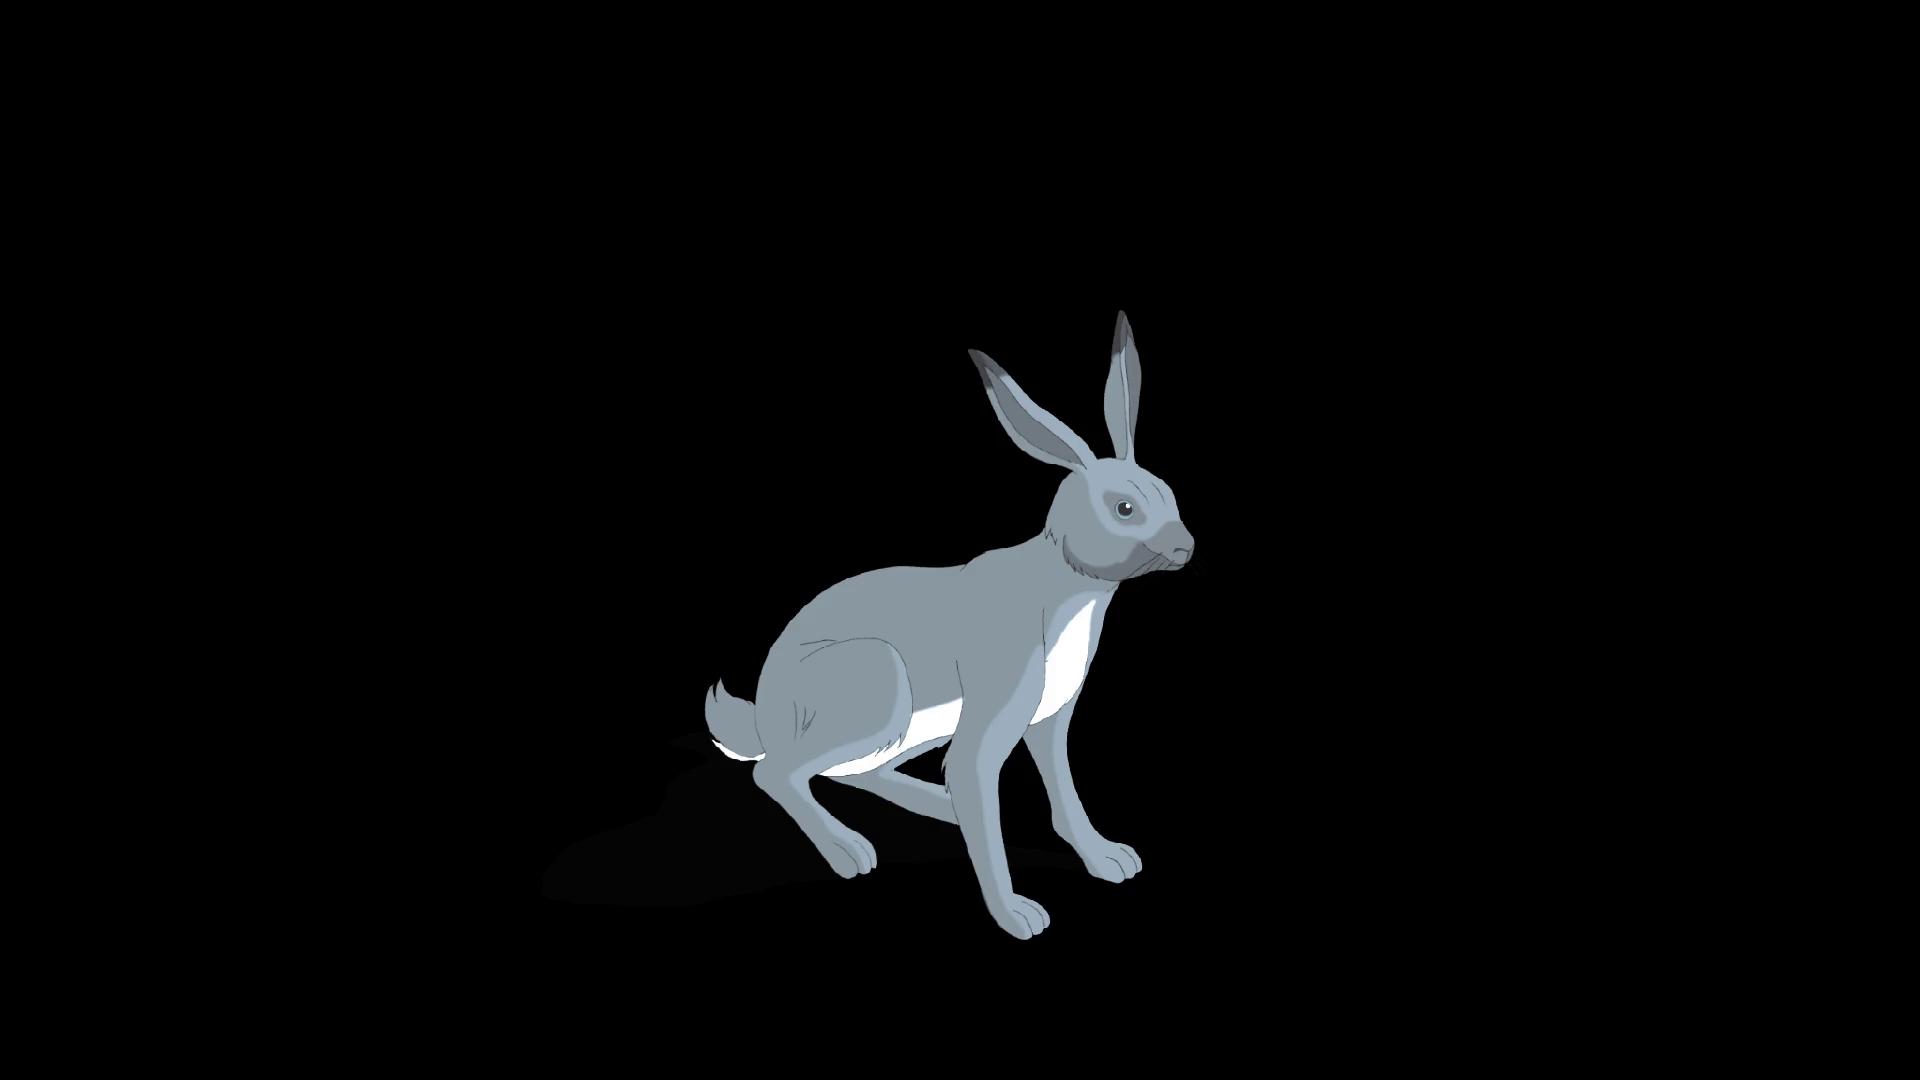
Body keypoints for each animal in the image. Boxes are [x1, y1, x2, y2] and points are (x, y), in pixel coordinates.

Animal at [703, 311, 1195, 940]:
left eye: (1168, 492)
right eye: (1124, 509)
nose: (1186, 547)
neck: (1062, 582)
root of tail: (764, 716)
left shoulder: (1049, 720)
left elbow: (1064, 796)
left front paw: (1110, 860)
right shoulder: (993, 718)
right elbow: (986, 815)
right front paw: (1018, 917)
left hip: (907, 722)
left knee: (853, 772)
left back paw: (938, 806)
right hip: (880, 682)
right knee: (779, 773)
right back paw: (851, 852)